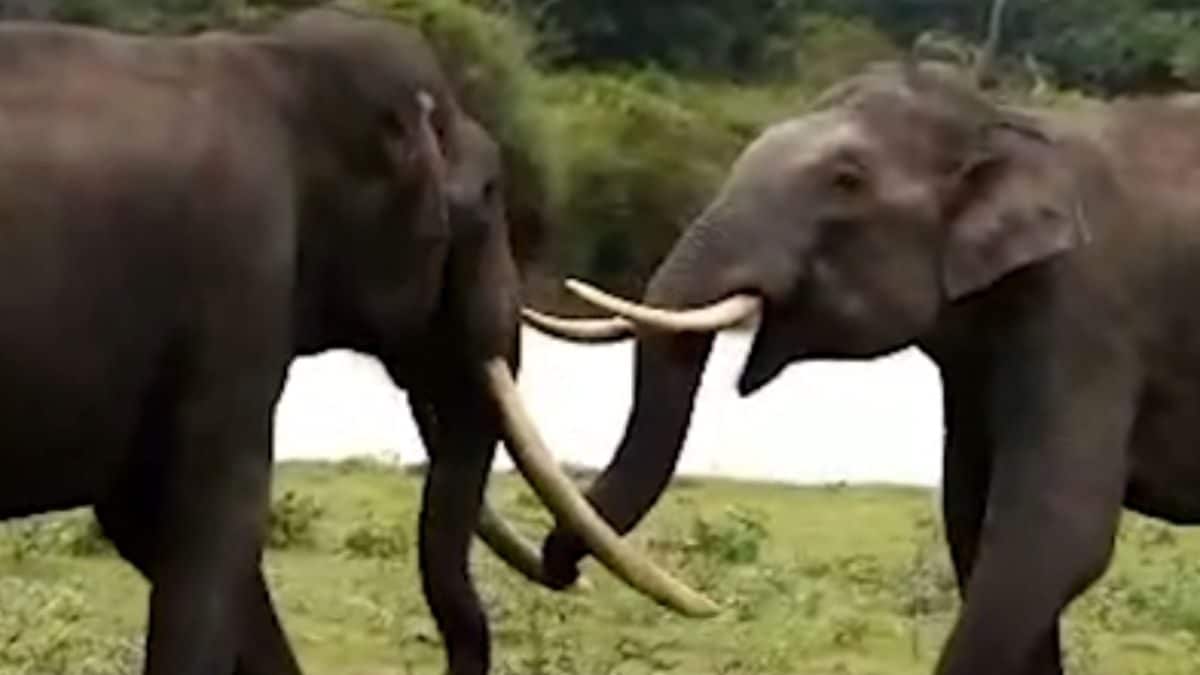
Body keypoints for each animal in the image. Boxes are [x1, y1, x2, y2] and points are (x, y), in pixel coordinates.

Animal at [0, 8, 713, 675]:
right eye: (489, 195)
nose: (566, 570)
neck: (278, 64)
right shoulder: (240, 287)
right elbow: (204, 519)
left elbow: (147, 521)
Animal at [528, 59, 1200, 674]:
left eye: (846, 180)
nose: (560, 571)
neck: (999, 122)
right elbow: (972, 519)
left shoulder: (1084, 317)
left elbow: (1055, 535)